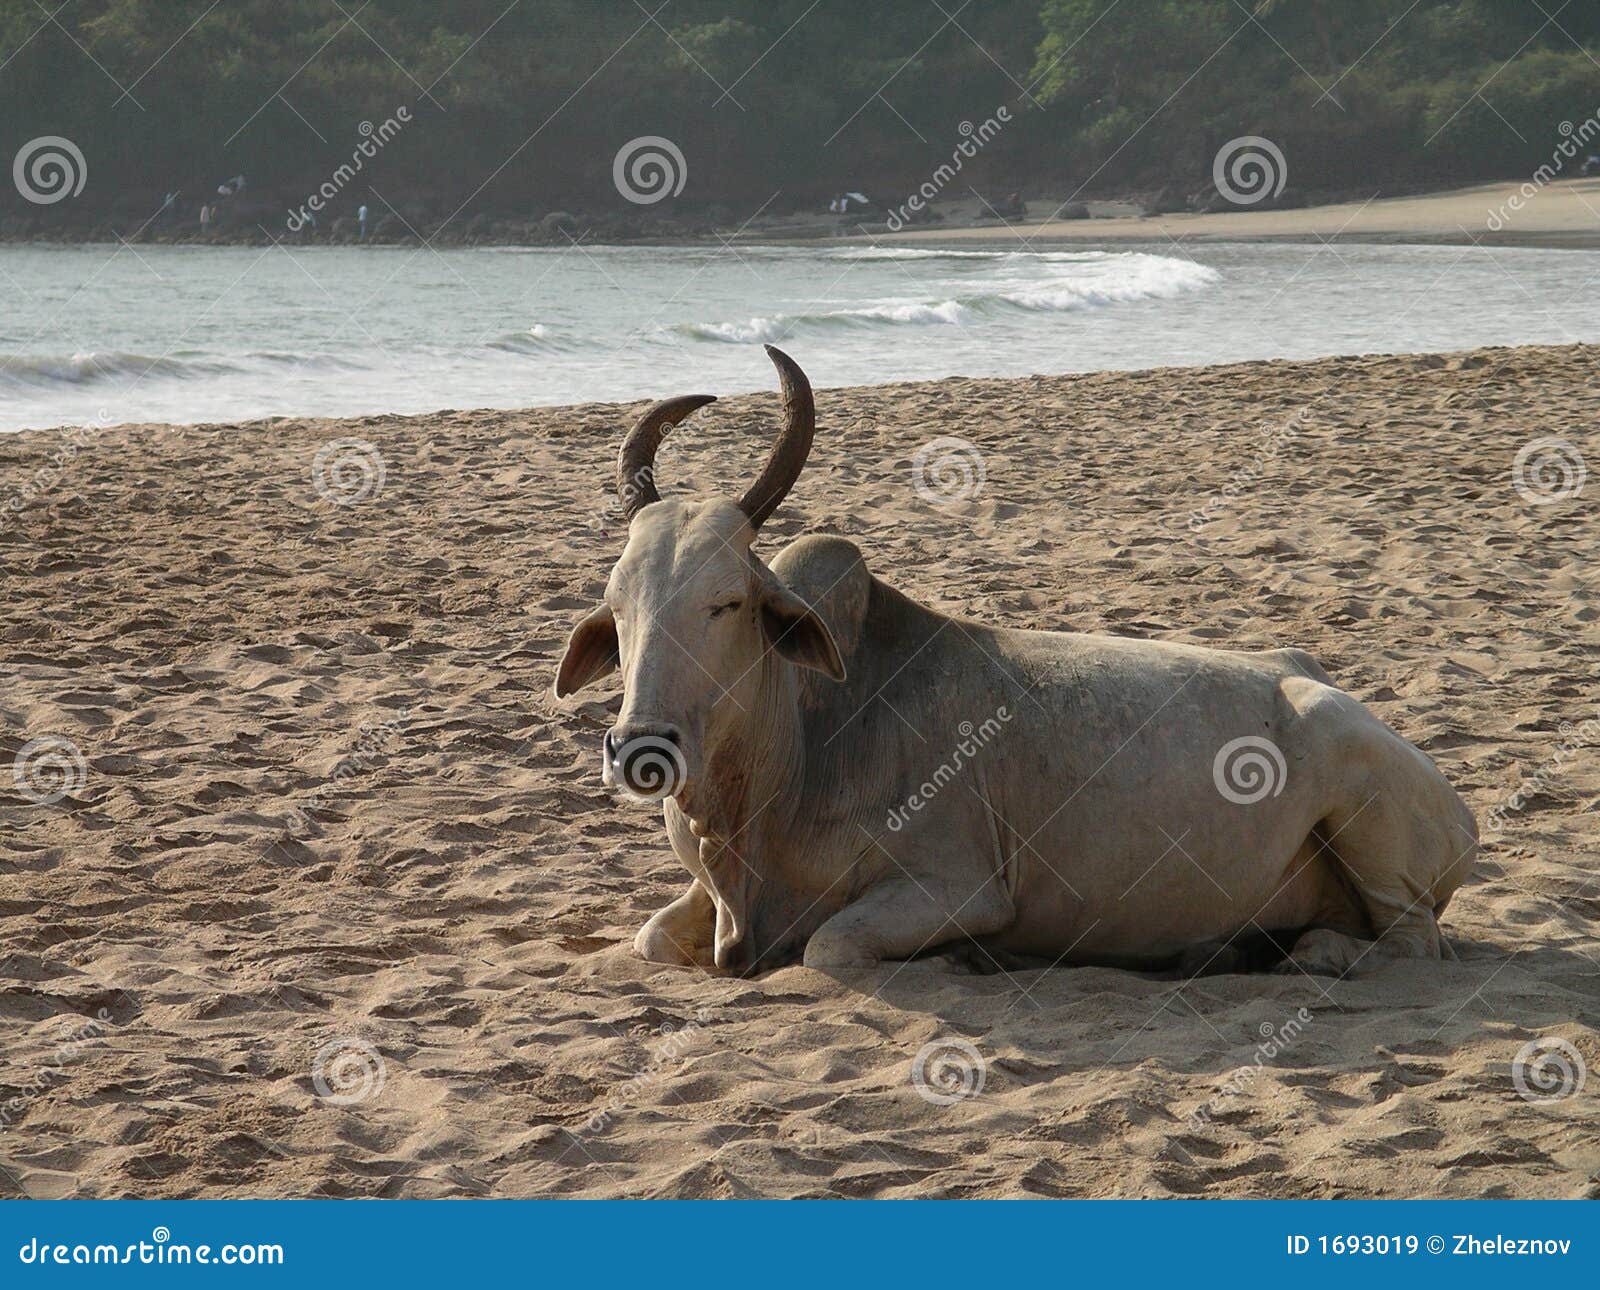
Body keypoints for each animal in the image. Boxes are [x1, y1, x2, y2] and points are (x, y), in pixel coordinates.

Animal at [554, 346, 1477, 978]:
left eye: (728, 603)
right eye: (618, 603)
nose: (639, 749)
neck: (795, 754)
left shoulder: (956, 886)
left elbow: (828, 946)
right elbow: (649, 937)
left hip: (1371, 820)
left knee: (1413, 942)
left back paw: (1301, 951)